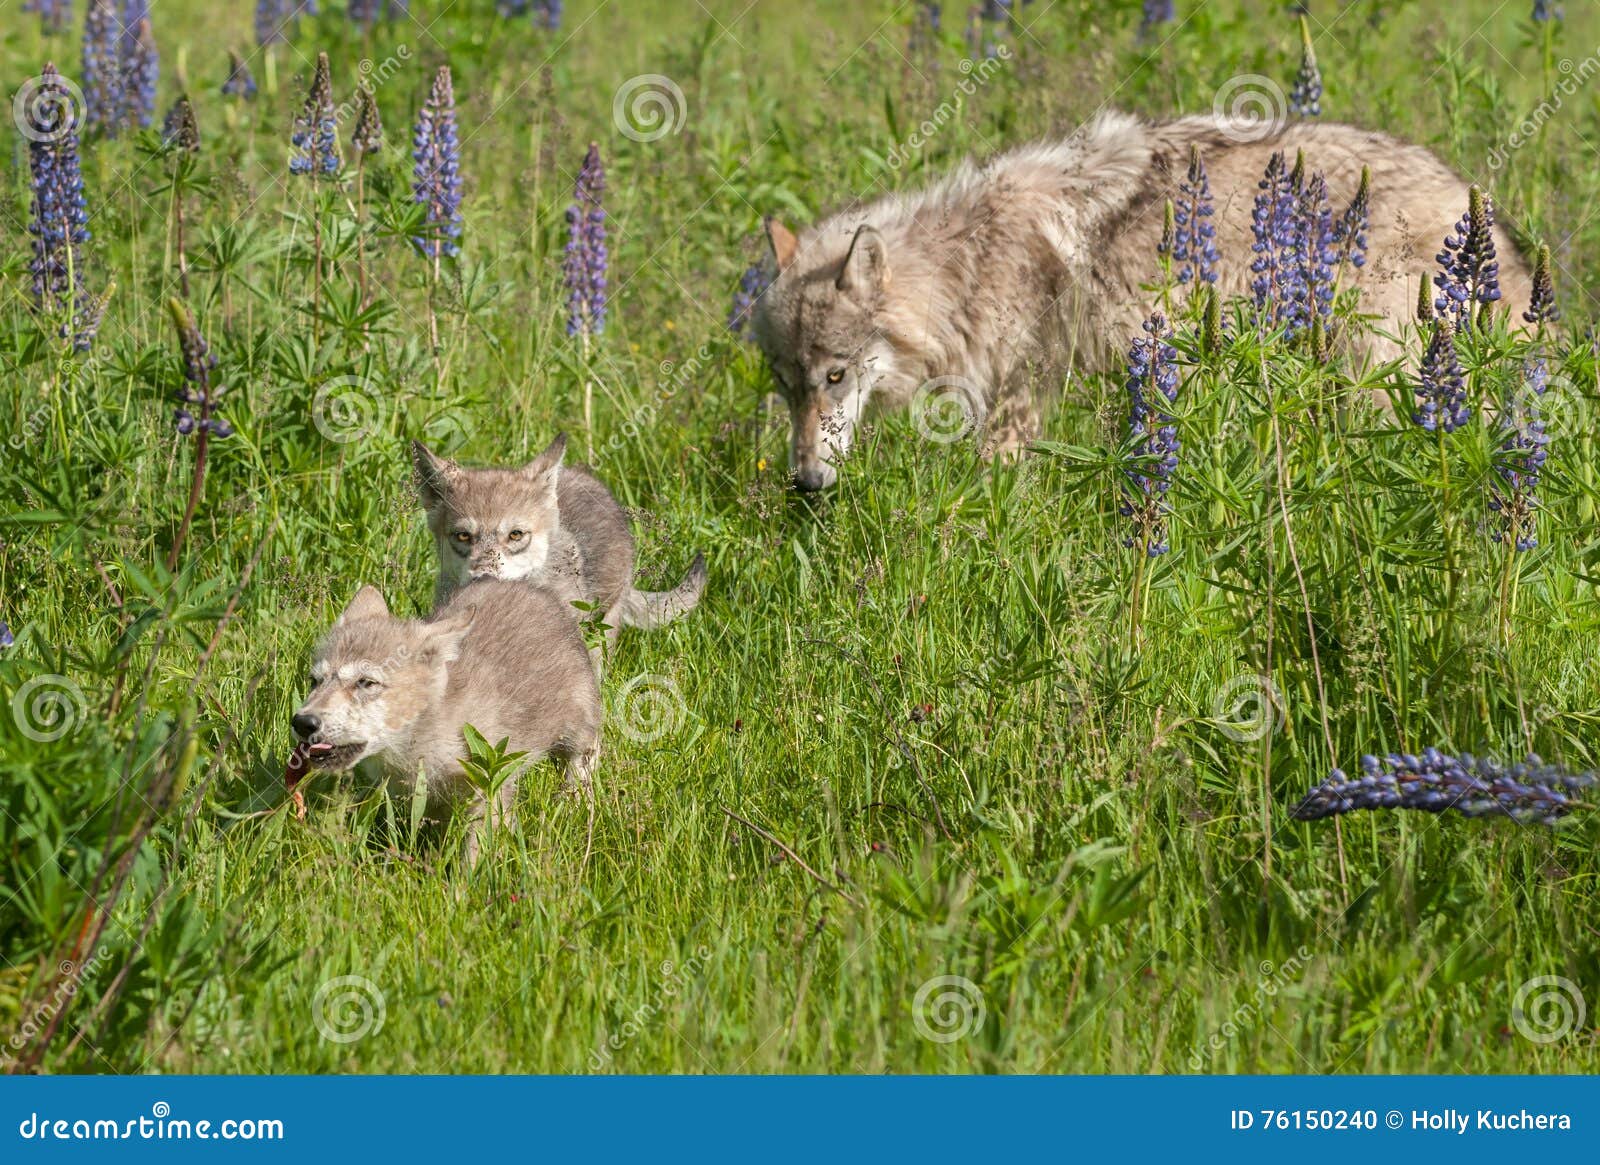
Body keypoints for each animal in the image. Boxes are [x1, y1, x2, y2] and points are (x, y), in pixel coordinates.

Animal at [290, 580, 602, 864]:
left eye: (366, 682)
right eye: (314, 681)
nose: (302, 722)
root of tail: (532, 587)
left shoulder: (490, 788)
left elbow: (473, 859)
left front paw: (466, 886)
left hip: (576, 731)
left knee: (585, 761)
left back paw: (575, 806)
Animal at [754, 109, 1534, 490]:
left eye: (836, 376)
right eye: (790, 387)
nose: (807, 484)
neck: (969, 267)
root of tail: (1477, 208)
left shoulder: (1021, 399)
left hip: (1378, 380)